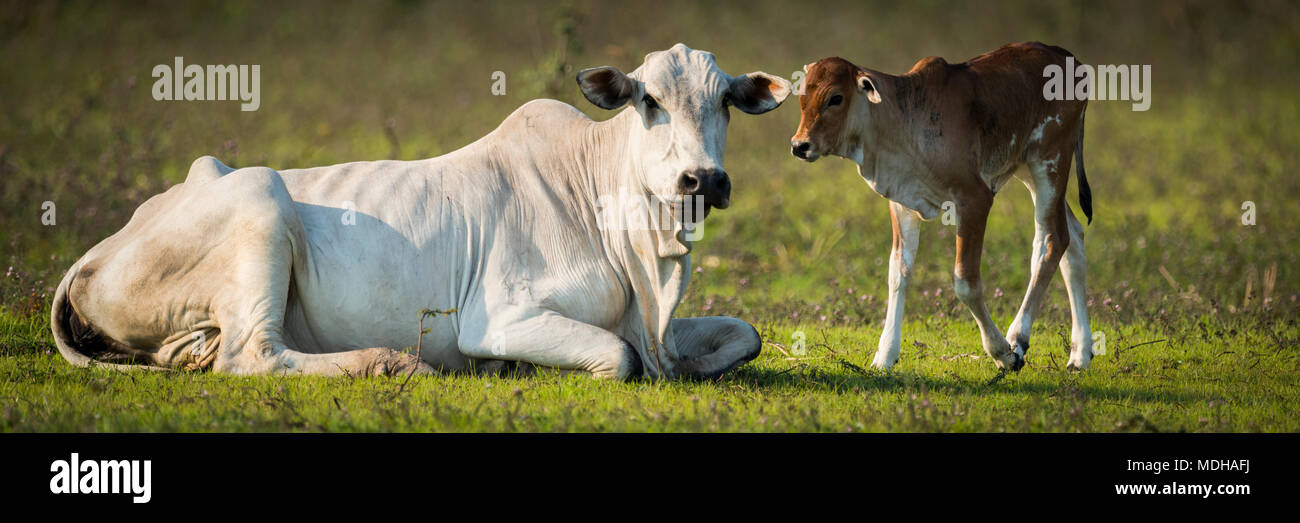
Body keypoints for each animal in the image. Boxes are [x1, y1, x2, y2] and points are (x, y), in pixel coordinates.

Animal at [50, 44, 793, 380]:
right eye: (649, 101)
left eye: (726, 102)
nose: (703, 178)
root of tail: (99, 249)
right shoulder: (502, 316)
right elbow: (618, 356)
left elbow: (744, 334)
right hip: (259, 202)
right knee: (251, 356)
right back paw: (388, 362)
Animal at [789, 42, 1094, 372]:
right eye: (802, 96)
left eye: (835, 98)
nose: (799, 145)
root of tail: (1066, 55)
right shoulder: (902, 204)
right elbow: (898, 273)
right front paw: (885, 355)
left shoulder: (975, 198)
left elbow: (965, 282)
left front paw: (1002, 352)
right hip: (1030, 170)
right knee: (1073, 238)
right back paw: (1080, 353)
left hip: (1049, 161)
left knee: (1052, 240)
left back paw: (1018, 336)